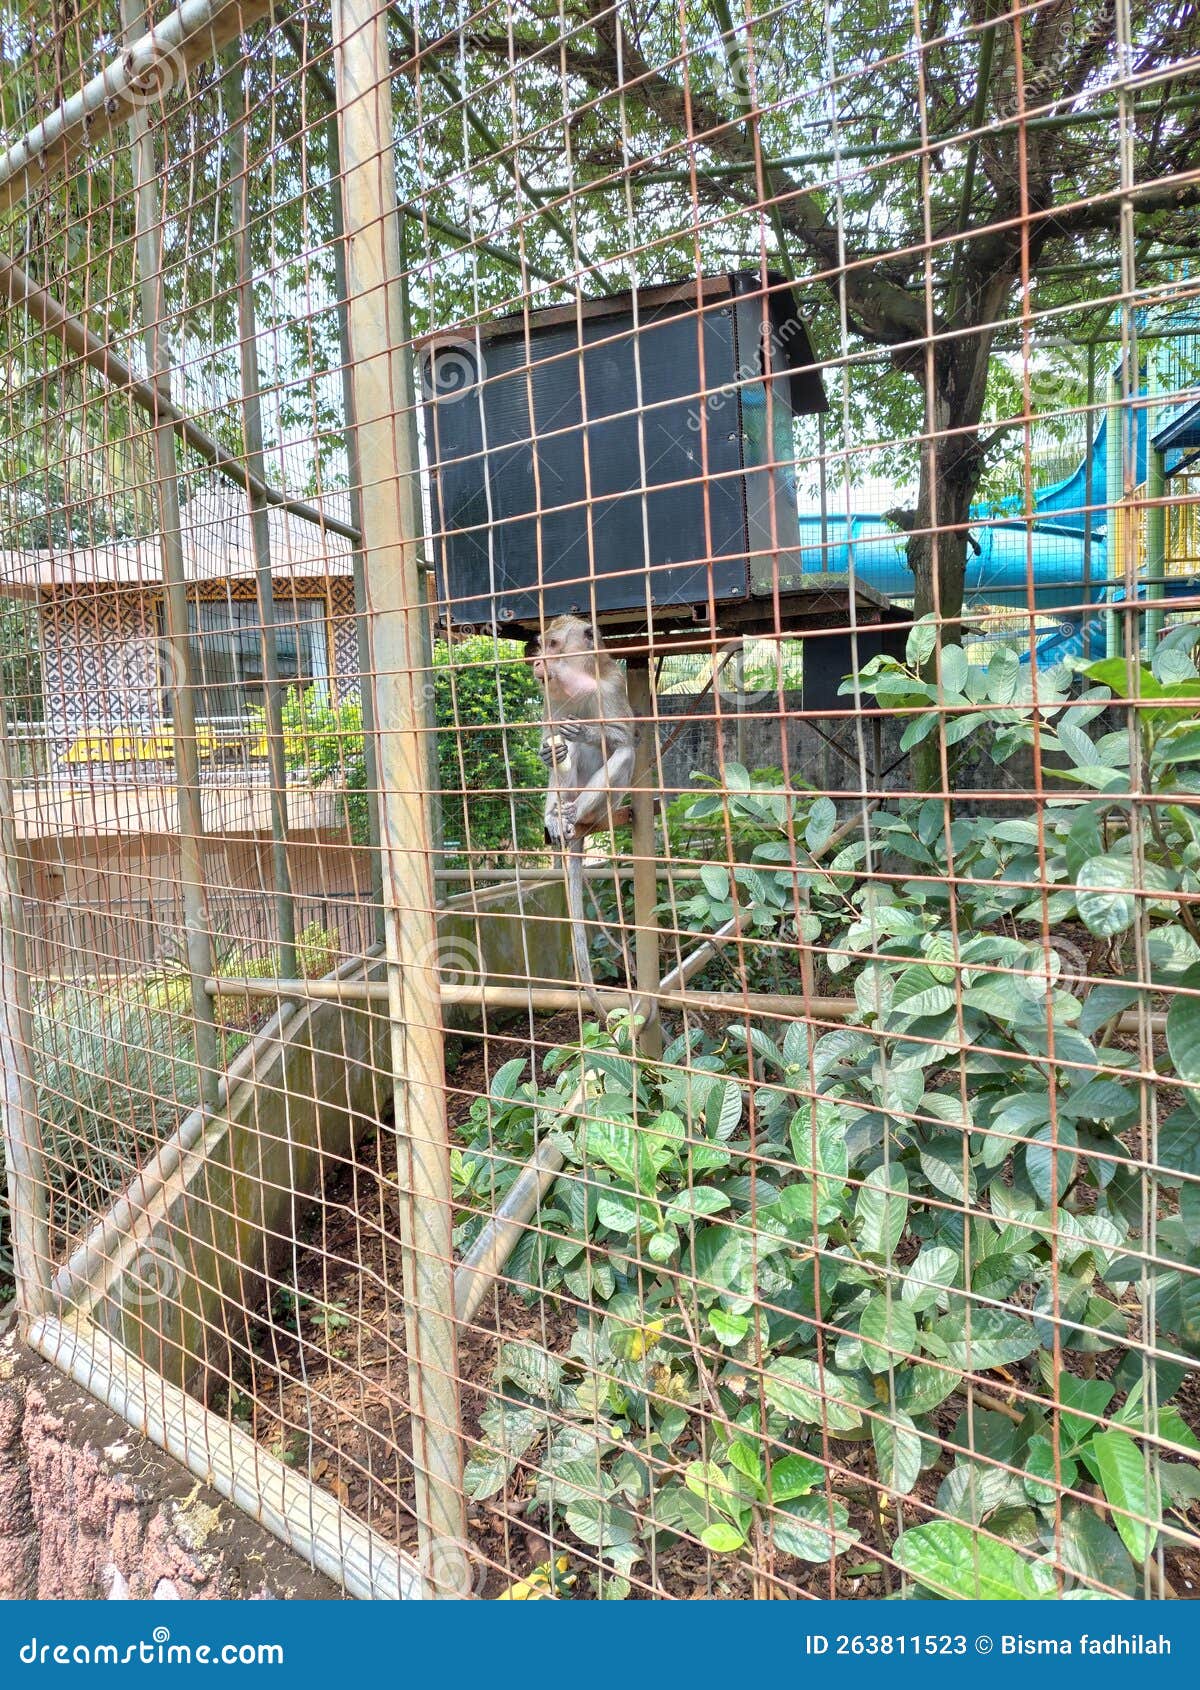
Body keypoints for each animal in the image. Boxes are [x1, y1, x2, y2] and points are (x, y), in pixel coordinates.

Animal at [532, 615, 637, 1017]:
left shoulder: (612, 684)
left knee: (623, 754)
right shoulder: (552, 697)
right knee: (564, 757)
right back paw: (557, 817)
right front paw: (549, 752)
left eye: (554, 644)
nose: (537, 662)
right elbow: (550, 742)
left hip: (607, 805)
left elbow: (624, 737)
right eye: (542, 644)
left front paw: (589, 730)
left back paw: (577, 812)